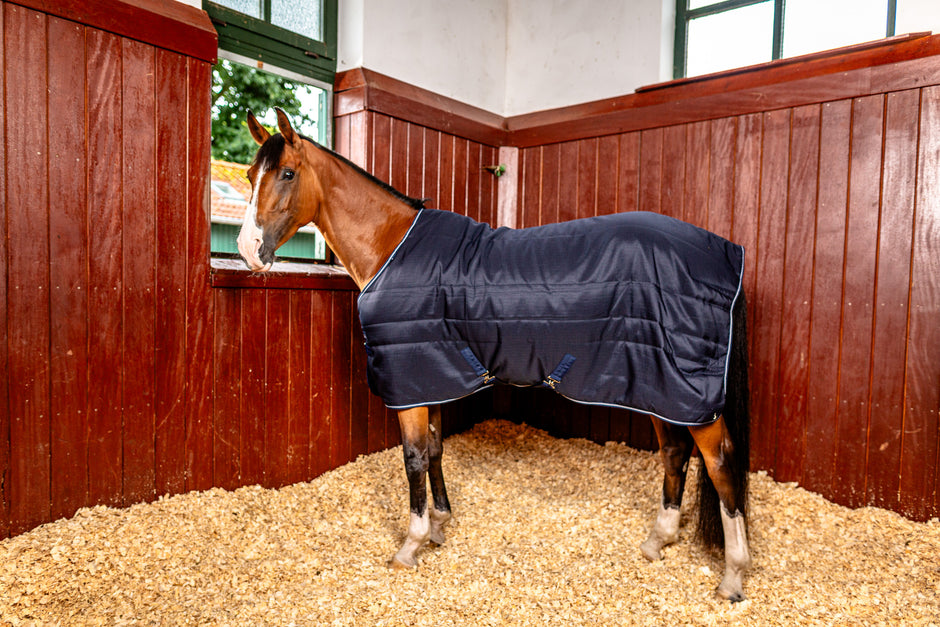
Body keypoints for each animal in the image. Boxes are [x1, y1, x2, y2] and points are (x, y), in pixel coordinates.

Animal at [236, 108, 752, 602]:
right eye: (249, 174)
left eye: (286, 173)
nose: (248, 249)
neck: (391, 245)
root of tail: (726, 252)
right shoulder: (431, 376)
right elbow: (436, 450)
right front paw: (440, 527)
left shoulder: (409, 384)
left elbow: (414, 458)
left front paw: (411, 545)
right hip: (656, 384)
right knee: (675, 452)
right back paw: (658, 540)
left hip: (685, 391)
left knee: (720, 463)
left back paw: (732, 576)